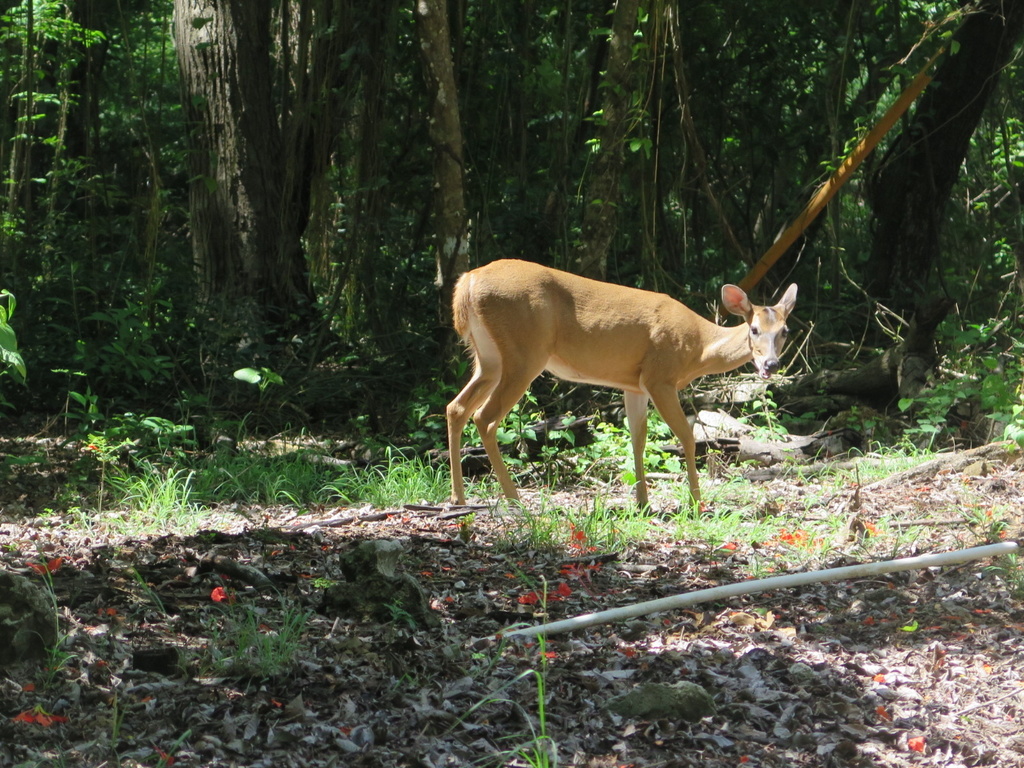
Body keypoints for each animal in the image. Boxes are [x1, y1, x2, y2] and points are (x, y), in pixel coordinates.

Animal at [446, 259, 798, 508]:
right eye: (754, 329)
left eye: (785, 331)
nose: (771, 364)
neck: (697, 349)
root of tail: (468, 282)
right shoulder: (660, 376)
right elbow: (686, 435)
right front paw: (697, 503)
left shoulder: (634, 384)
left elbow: (637, 438)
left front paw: (642, 502)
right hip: (524, 351)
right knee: (485, 417)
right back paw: (514, 498)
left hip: (488, 357)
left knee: (456, 407)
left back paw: (458, 497)